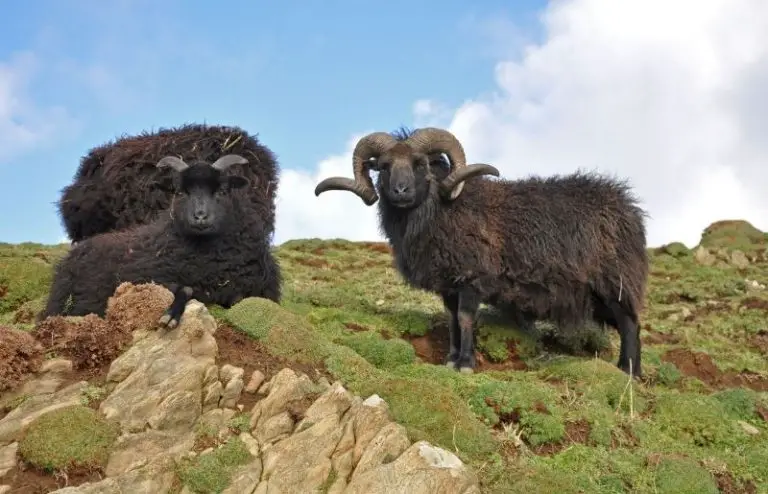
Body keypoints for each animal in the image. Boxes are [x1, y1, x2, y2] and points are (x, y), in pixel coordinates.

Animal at [40, 153, 281, 328]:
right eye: (180, 192)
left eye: (222, 191)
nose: (200, 216)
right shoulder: (146, 277)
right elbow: (186, 289)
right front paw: (171, 315)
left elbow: (239, 298)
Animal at [314, 127, 649, 378]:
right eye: (383, 166)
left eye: (420, 164)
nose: (400, 191)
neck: (445, 209)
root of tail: (629, 208)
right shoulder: (448, 285)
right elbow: (451, 319)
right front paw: (450, 359)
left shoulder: (472, 278)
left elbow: (465, 319)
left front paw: (466, 363)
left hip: (615, 282)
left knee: (630, 324)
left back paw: (628, 371)